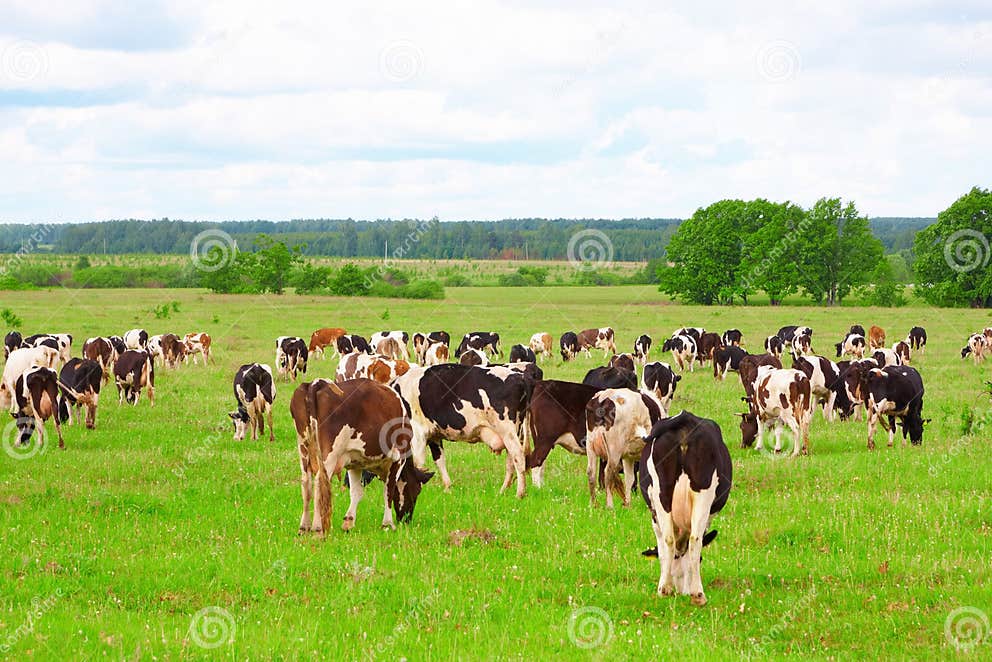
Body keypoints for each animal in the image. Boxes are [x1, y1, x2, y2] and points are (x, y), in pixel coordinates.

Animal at [291, 378, 434, 533]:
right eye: (417, 490)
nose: (406, 520)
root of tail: (317, 383)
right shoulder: (398, 459)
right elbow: (388, 490)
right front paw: (387, 524)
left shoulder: (354, 463)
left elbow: (356, 492)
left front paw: (348, 522)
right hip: (329, 455)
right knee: (320, 482)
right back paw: (317, 527)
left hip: (304, 448)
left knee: (306, 483)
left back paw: (304, 527)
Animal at [393, 364, 531, 497]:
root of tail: (519, 376)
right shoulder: (434, 436)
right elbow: (440, 460)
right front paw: (448, 488)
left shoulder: (418, 434)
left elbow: (417, 464)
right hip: (514, 432)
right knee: (511, 460)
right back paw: (503, 491)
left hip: (507, 430)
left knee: (518, 456)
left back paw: (519, 493)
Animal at [639, 411, 732, 606]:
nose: (682, 590)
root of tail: (685, 418)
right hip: (702, 494)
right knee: (693, 540)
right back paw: (695, 593)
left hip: (664, 494)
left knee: (673, 539)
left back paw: (669, 589)